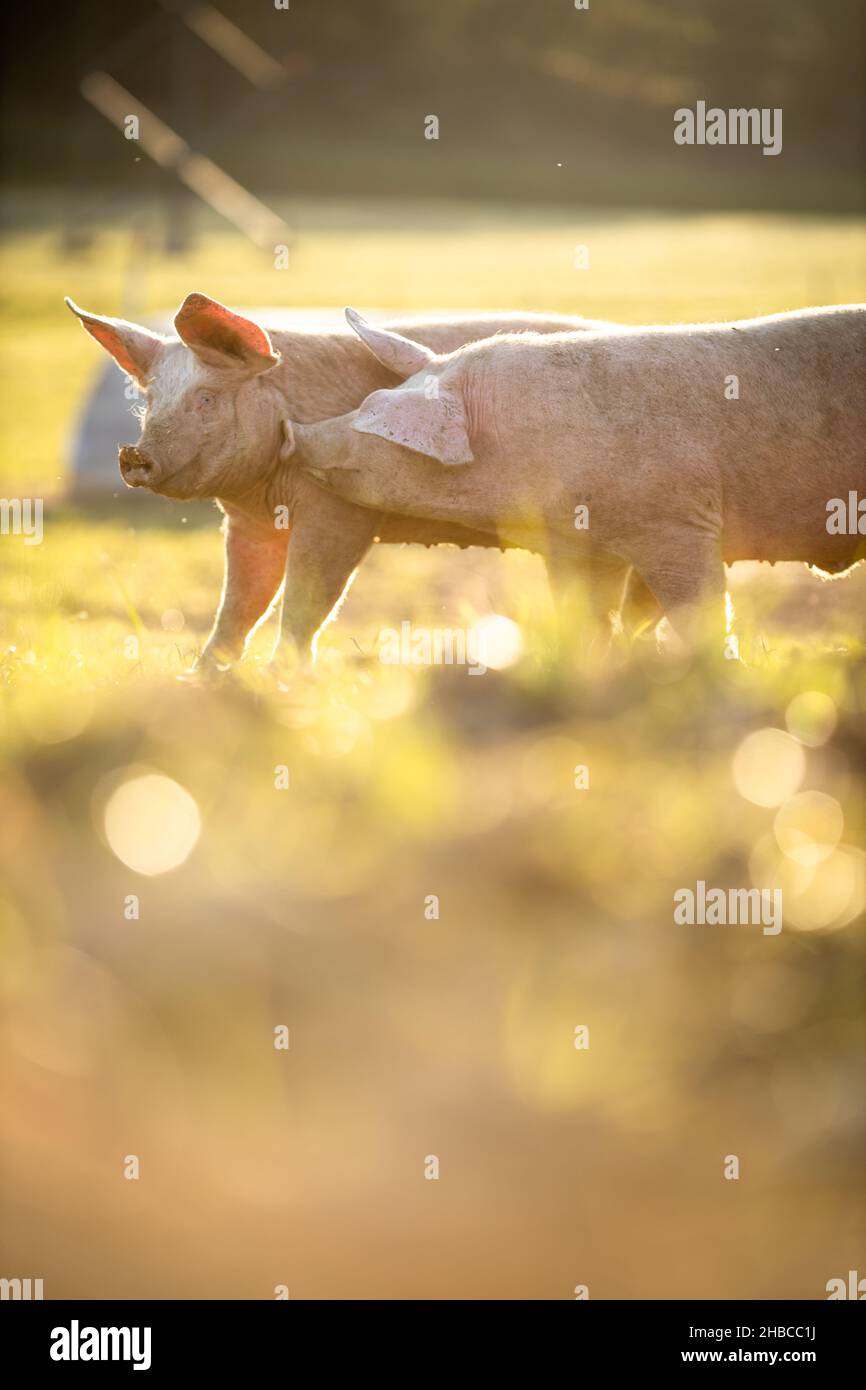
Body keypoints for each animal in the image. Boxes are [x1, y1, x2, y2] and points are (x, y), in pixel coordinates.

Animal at [66, 294, 631, 672]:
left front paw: (278, 679)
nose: (135, 454)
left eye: (206, 398)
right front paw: (201, 678)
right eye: (149, 400)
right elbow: (239, 603)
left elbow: (307, 597)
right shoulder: (248, 523)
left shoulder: (341, 512)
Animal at [286, 305, 866, 648]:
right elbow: (593, 617)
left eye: (373, 412)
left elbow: (697, 611)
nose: (292, 431)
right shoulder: (584, 547)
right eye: (368, 397)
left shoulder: (681, 523)